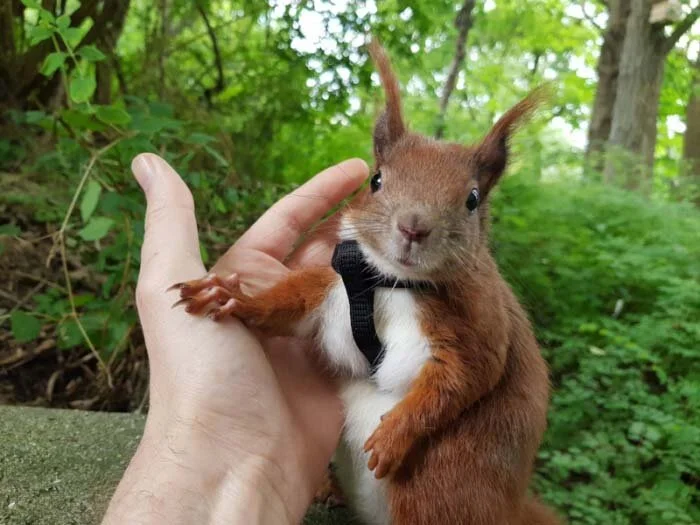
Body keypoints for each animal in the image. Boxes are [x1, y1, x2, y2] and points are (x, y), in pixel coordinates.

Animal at [172, 40, 562, 525]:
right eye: (376, 180)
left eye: (472, 200)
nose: (414, 227)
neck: (391, 284)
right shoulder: (334, 285)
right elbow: (284, 308)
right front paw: (233, 298)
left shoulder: (479, 323)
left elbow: (462, 379)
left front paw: (395, 435)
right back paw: (329, 489)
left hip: (437, 481)